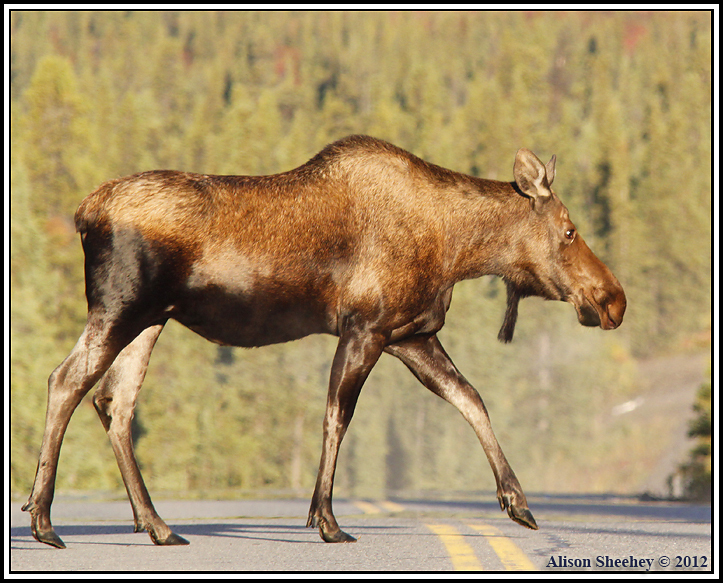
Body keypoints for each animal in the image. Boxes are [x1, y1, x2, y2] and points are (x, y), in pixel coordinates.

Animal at [22, 135, 626, 548]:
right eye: (569, 230)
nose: (614, 300)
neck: (456, 248)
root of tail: (83, 213)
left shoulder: (411, 335)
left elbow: (471, 400)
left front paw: (518, 503)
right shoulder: (366, 328)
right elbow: (338, 416)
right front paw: (327, 520)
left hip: (151, 319)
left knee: (114, 402)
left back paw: (155, 524)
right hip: (119, 308)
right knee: (65, 381)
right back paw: (45, 520)